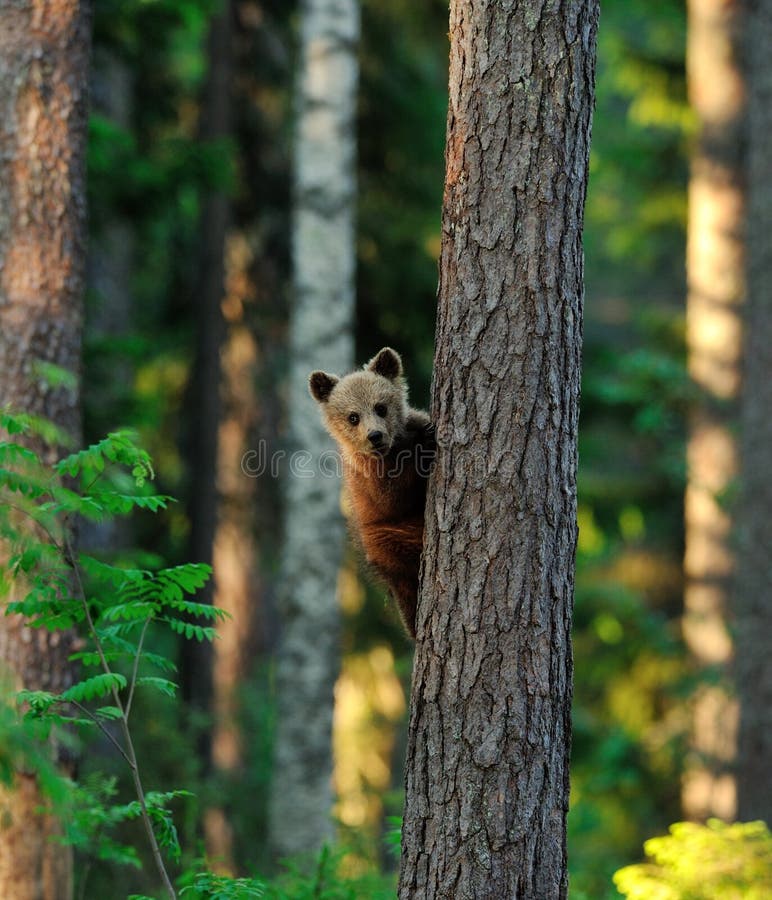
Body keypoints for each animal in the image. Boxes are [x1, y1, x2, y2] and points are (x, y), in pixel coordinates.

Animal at [309, 347, 435, 637]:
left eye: (381, 407)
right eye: (353, 416)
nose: (375, 436)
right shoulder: (370, 482)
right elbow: (393, 496)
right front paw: (424, 444)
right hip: (387, 538)